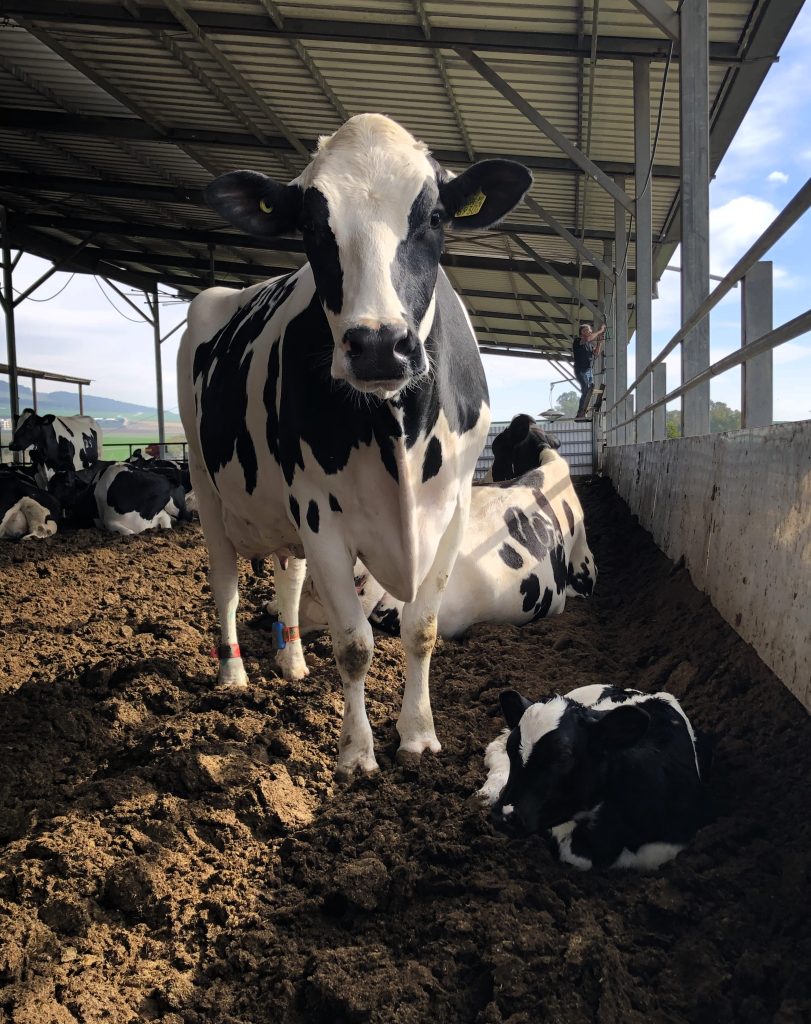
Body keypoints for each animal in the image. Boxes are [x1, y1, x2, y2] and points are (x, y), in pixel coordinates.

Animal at [177, 112, 531, 776]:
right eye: (312, 225)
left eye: (434, 216)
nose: (377, 345)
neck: (397, 430)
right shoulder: (321, 513)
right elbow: (354, 645)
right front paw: (356, 753)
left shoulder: (452, 510)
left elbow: (421, 629)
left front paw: (418, 736)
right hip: (207, 486)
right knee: (226, 585)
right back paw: (233, 673)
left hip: (285, 515)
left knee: (288, 581)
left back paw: (292, 661)